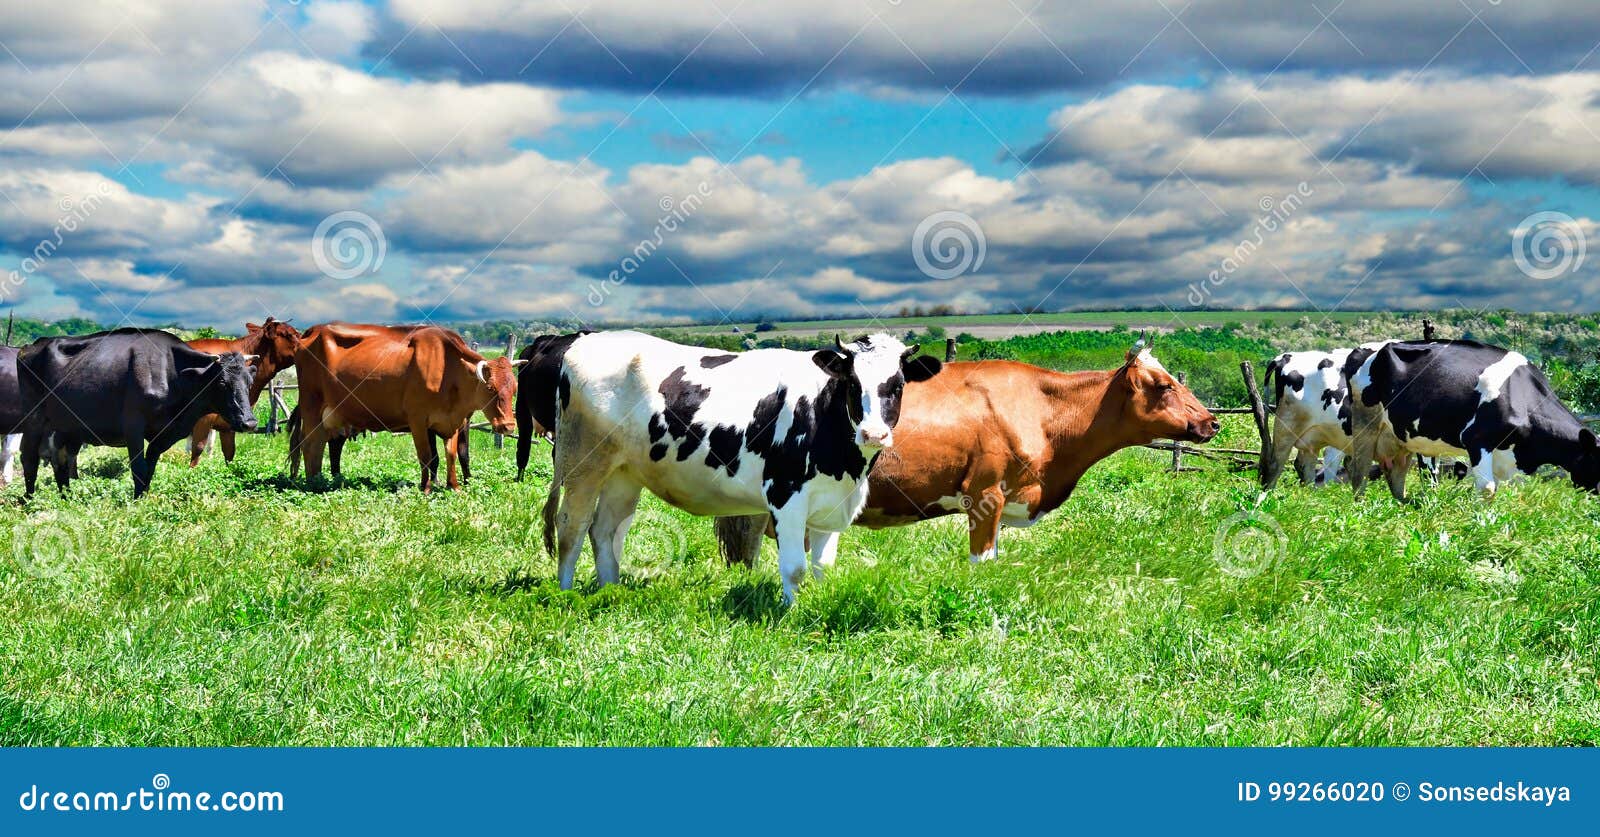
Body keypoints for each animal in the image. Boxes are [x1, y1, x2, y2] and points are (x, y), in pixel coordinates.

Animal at [15, 328, 258, 498]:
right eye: (222, 383)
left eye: (249, 381)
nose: (250, 422)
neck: (170, 373)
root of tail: (30, 346)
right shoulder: (133, 427)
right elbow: (139, 468)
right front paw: (135, 504)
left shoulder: (164, 434)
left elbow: (149, 469)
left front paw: (143, 499)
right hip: (34, 419)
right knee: (29, 458)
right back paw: (29, 500)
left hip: (66, 426)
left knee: (60, 459)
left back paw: (66, 498)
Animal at [287, 323, 521, 492]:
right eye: (490, 388)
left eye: (515, 388)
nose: (508, 426)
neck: (447, 368)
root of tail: (313, 330)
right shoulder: (418, 420)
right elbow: (427, 456)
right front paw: (426, 488)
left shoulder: (453, 420)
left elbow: (452, 454)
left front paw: (453, 486)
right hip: (312, 407)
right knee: (311, 446)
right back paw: (314, 484)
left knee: (325, 445)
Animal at [540, 331, 942, 602]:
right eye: (852, 384)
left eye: (897, 385)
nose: (874, 433)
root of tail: (586, 341)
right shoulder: (786, 497)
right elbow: (795, 568)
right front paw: (791, 614)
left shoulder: (833, 504)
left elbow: (822, 568)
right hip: (583, 461)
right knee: (572, 527)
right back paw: (566, 594)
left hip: (624, 471)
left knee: (606, 530)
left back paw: (611, 591)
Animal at [1343, 339, 1600, 500]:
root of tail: (1361, 349)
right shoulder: (1477, 440)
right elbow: (1487, 489)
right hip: (1364, 424)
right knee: (1358, 471)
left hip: (1402, 437)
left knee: (1397, 480)